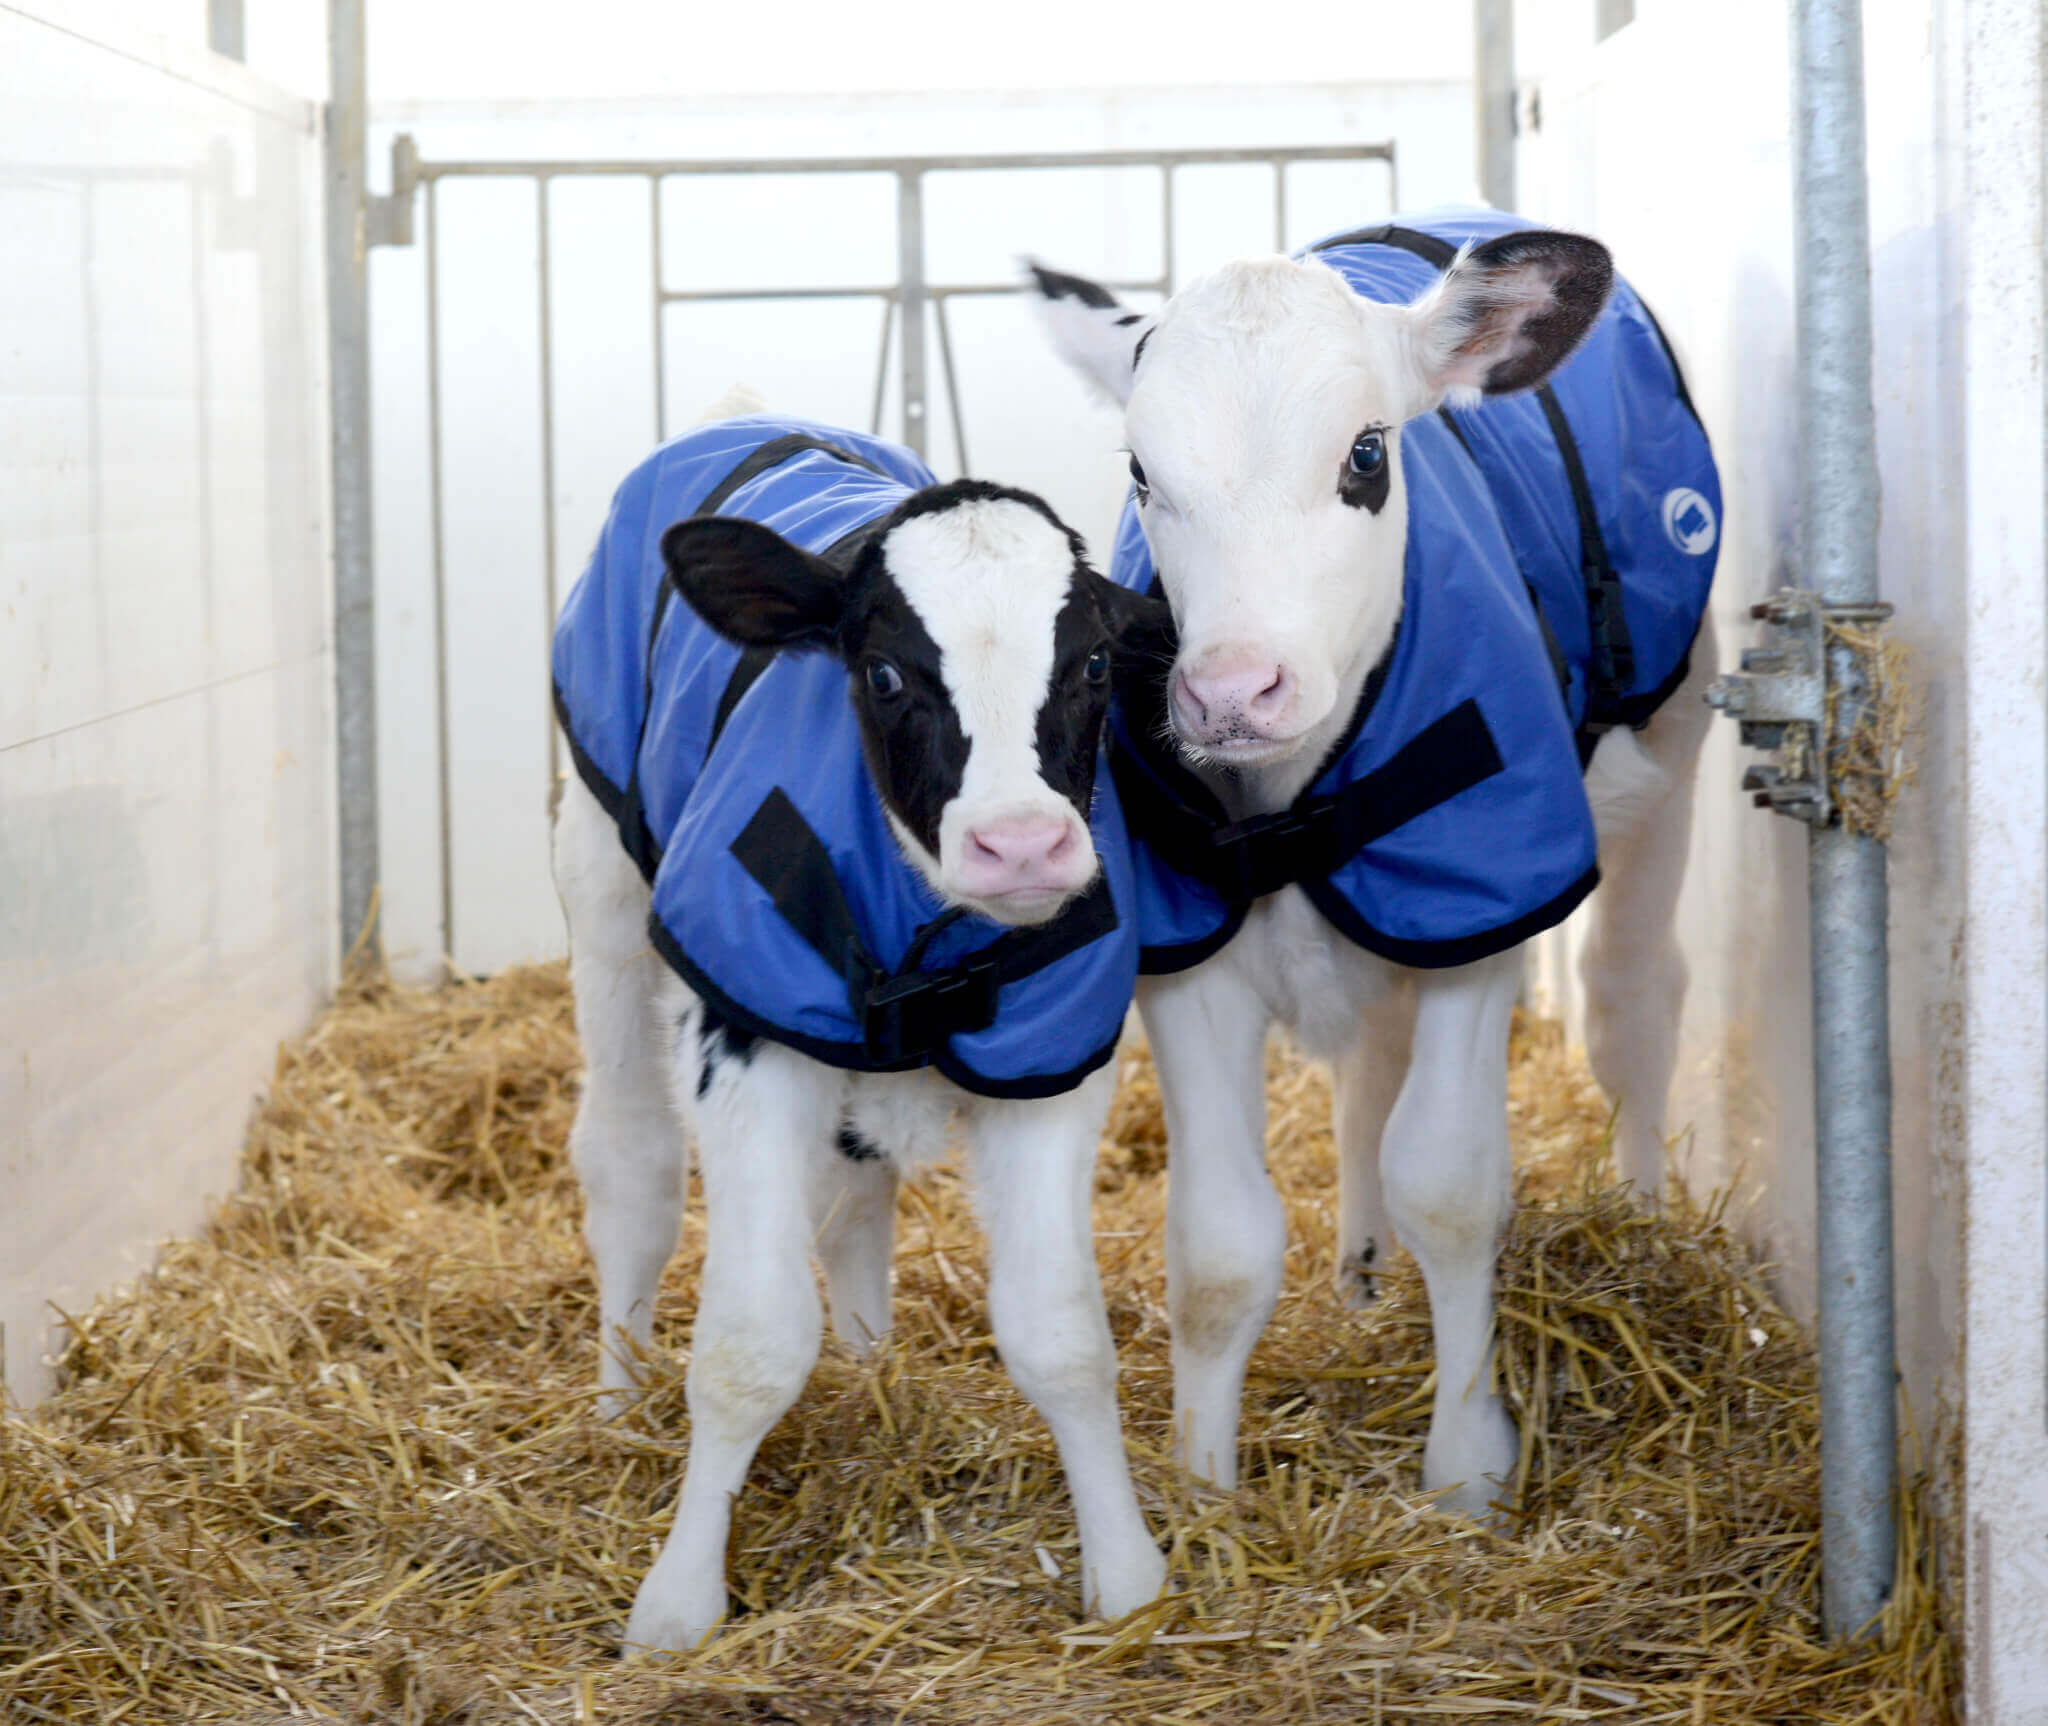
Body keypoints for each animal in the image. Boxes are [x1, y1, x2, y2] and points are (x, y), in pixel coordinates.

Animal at [550, 416, 1169, 1651]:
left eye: (1091, 666)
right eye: (885, 674)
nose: (1022, 846)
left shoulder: (1054, 1067)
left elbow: (1063, 1333)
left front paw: (1125, 1576)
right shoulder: (746, 1039)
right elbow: (748, 1344)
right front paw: (677, 1600)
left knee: (853, 1195)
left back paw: (872, 1361)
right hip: (600, 876)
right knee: (630, 1167)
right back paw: (618, 1399)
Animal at [1026, 213, 1720, 1515]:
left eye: (1362, 455)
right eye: (1140, 472)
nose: (1230, 691)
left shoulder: (1476, 907)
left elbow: (1447, 1184)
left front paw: (1468, 1463)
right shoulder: (1189, 958)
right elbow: (1217, 1241)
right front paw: (1202, 1488)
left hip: (1669, 745)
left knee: (1632, 999)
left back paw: (1644, 1212)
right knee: (1368, 1072)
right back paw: (1357, 1268)